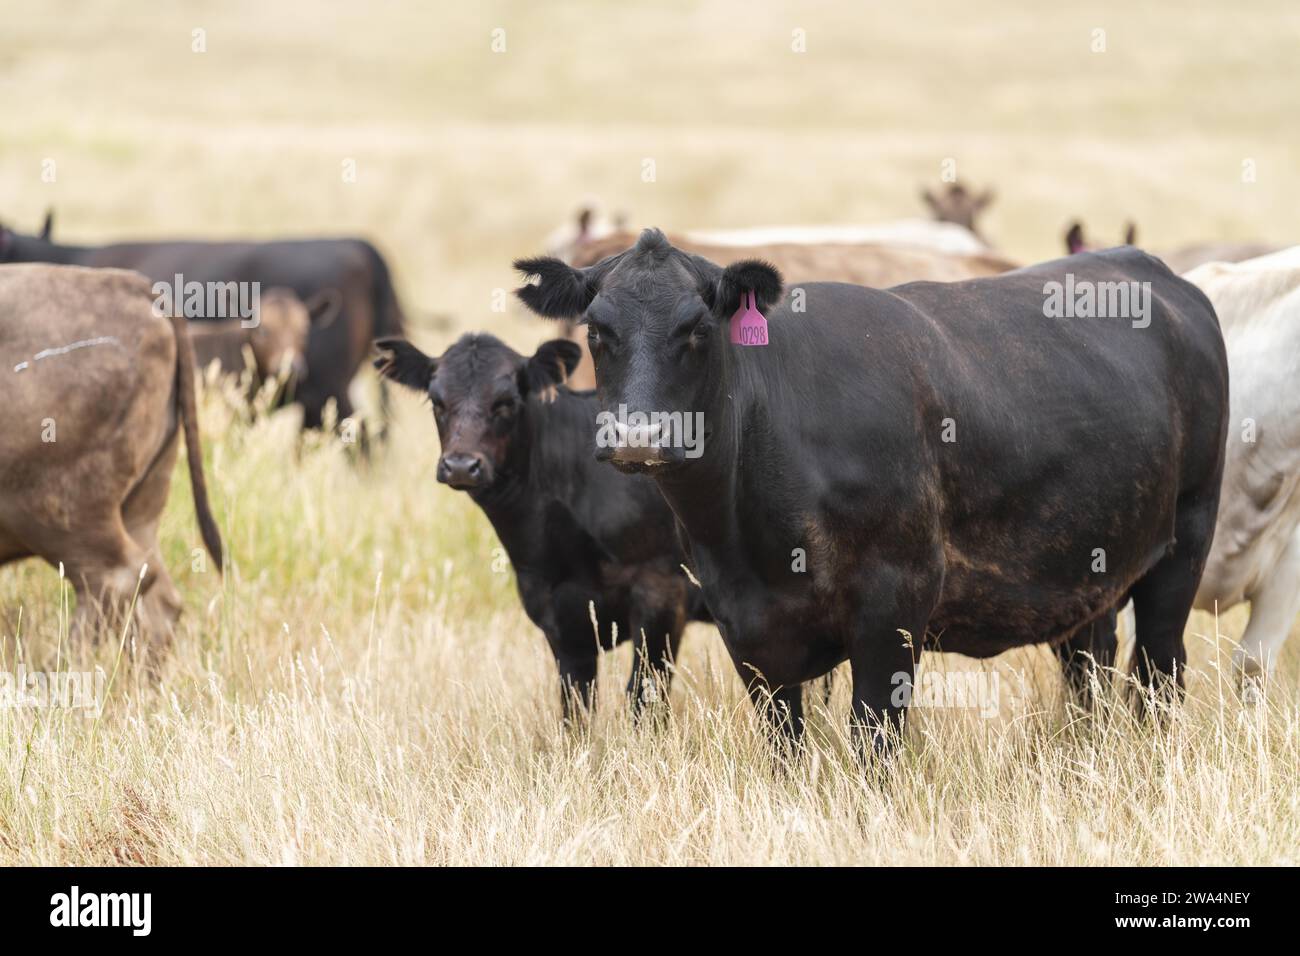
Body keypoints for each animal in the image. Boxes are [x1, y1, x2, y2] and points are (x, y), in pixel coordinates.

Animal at [372, 332, 710, 720]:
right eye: (436, 400)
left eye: (506, 401)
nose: (460, 465)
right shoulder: (557, 614)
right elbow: (575, 705)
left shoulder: (662, 592)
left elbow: (645, 699)